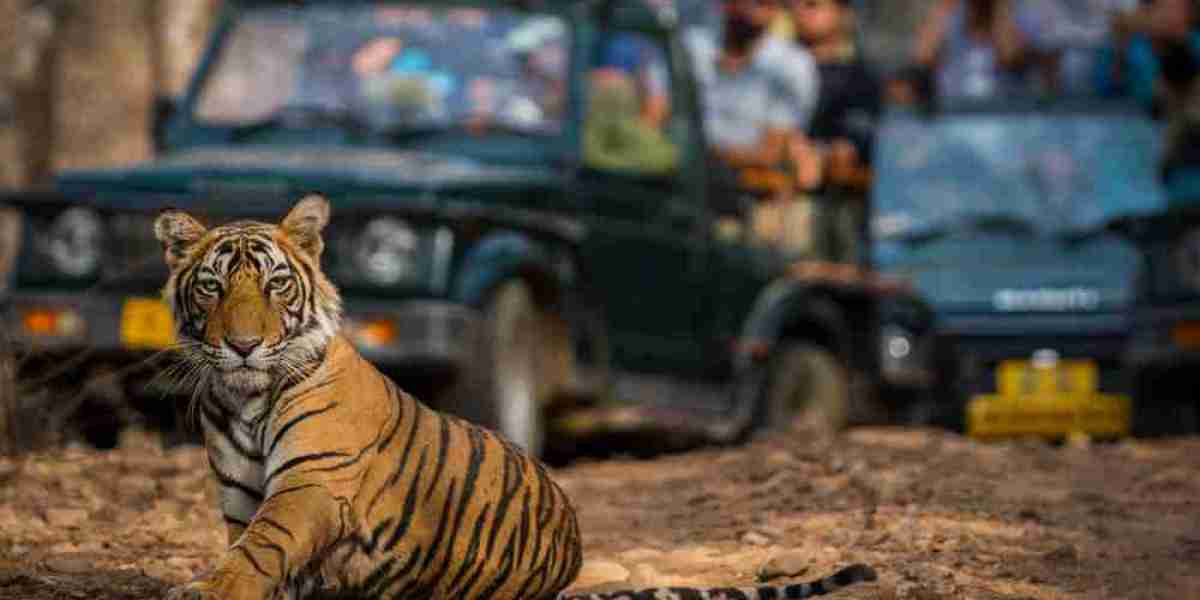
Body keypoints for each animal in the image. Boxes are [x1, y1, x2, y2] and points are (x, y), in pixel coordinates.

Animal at [153, 195, 878, 600]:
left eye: (275, 284)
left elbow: (263, 547)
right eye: (213, 286)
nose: (244, 345)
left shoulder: (313, 483)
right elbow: (255, 549)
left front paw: (211, 589)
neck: (244, 397)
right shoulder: (240, 496)